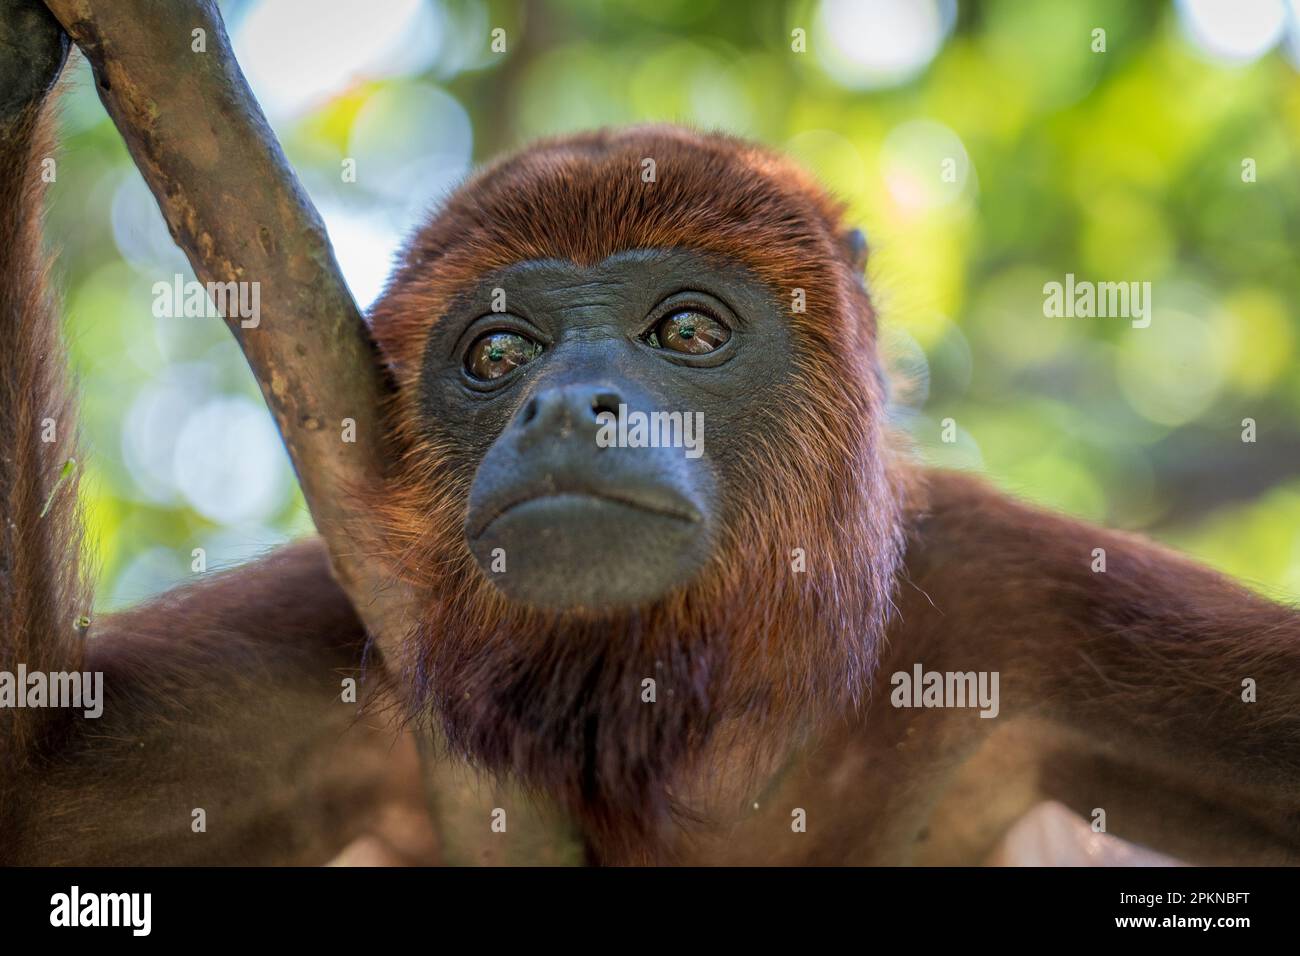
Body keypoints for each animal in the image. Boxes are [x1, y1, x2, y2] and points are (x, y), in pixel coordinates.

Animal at [3, 1, 1299, 866]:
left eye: (686, 329)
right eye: (498, 355)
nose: (565, 403)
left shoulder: (1020, 599)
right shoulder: (343, 624)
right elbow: (40, 781)